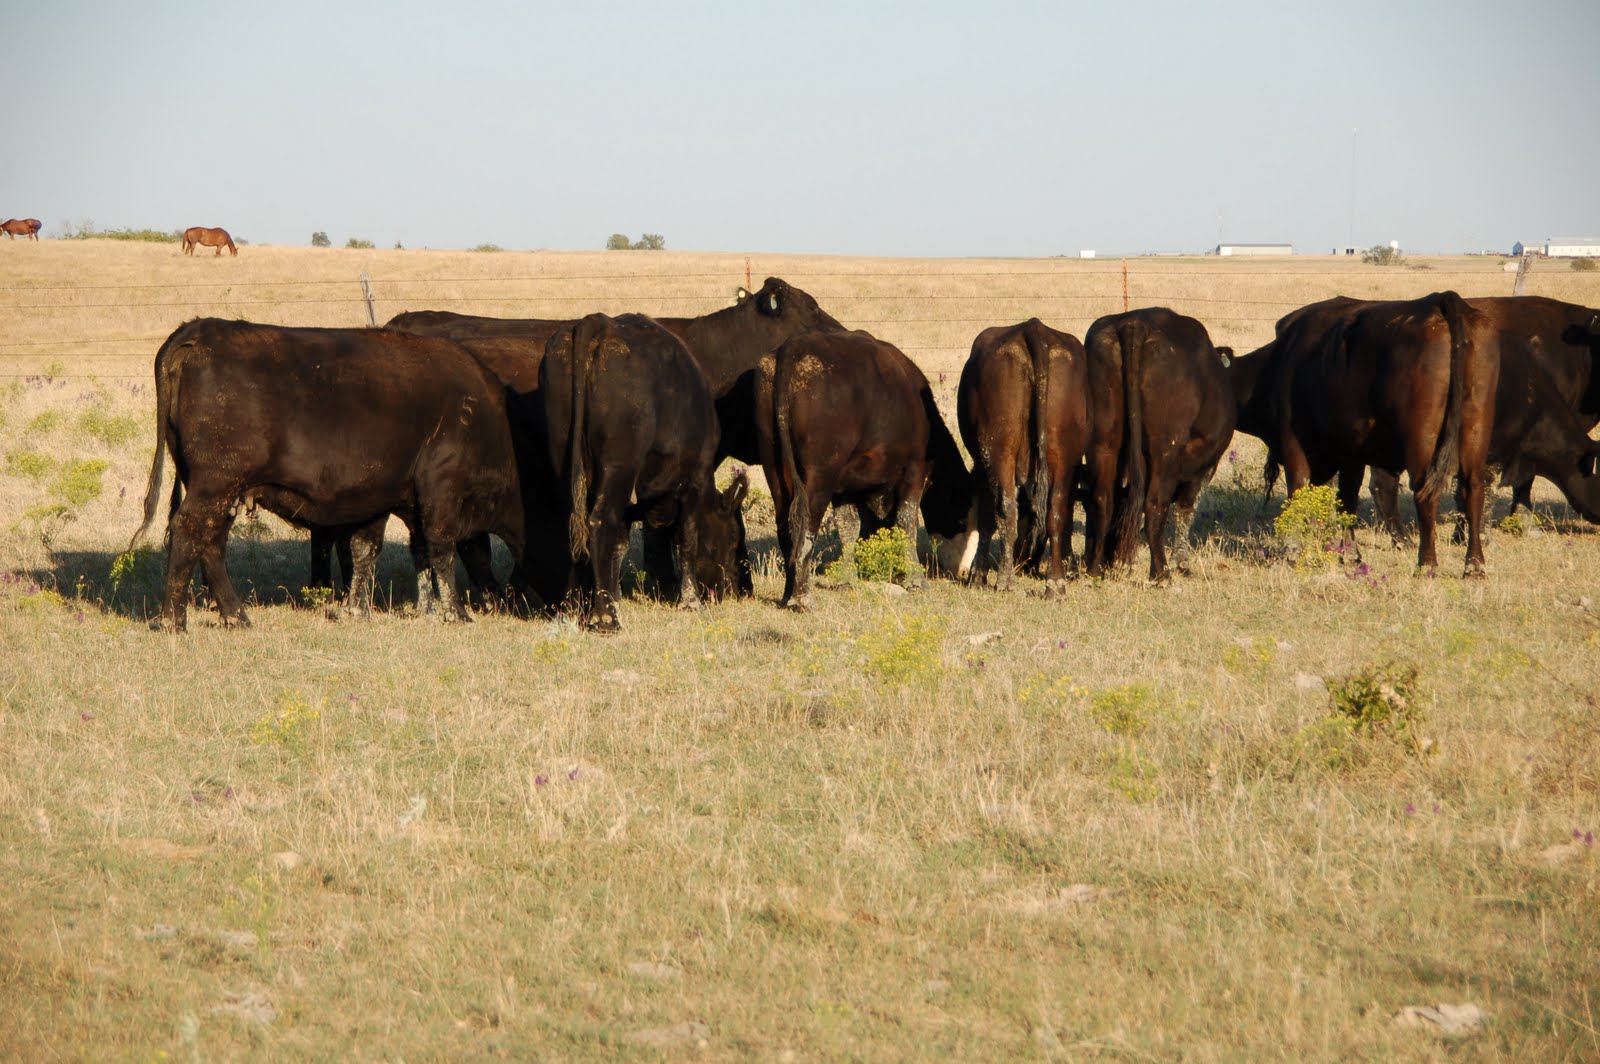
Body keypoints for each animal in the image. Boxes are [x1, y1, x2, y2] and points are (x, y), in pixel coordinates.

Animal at [127, 319, 524, 631]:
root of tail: (201, 329)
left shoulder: (381, 499)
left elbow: (375, 551)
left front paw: (363, 609)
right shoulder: (441, 492)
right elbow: (442, 550)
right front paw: (456, 613)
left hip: (223, 491)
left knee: (210, 542)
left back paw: (236, 616)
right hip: (215, 485)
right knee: (190, 531)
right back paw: (175, 621)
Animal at [540, 313, 748, 632]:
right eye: (734, 536)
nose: (734, 590)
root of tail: (598, 323)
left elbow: (620, 545)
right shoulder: (695, 478)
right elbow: (686, 539)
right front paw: (691, 601)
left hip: (565, 461)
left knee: (574, 525)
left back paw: (572, 609)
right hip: (618, 469)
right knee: (600, 522)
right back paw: (606, 618)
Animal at [757, 330, 974, 612]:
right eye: (961, 520)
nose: (961, 571)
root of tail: (795, 346)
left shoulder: (845, 489)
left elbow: (848, 528)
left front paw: (848, 579)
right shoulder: (914, 472)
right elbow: (907, 520)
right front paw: (916, 579)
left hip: (775, 470)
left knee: (786, 527)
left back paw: (787, 595)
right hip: (820, 476)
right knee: (806, 527)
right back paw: (803, 598)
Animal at [954, 318, 1090, 593]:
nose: (1025, 564)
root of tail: (1033, 328)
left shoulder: (982, 468)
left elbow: (986, 519)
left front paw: (978, 575)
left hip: (998, 453)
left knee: (1007, 509)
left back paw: (1005, 579)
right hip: (1064, 456)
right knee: (1056, 510)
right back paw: (1054, 583)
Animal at [1083, 308, 1236, 583]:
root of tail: (1134, 323)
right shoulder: (1205, 467)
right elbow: (1187, 510)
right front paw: (1181, 563)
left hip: (1103, 442)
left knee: (1103, 499)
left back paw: (1095, 569)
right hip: (1165, 449)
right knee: (1155, 504)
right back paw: (1161, 573)